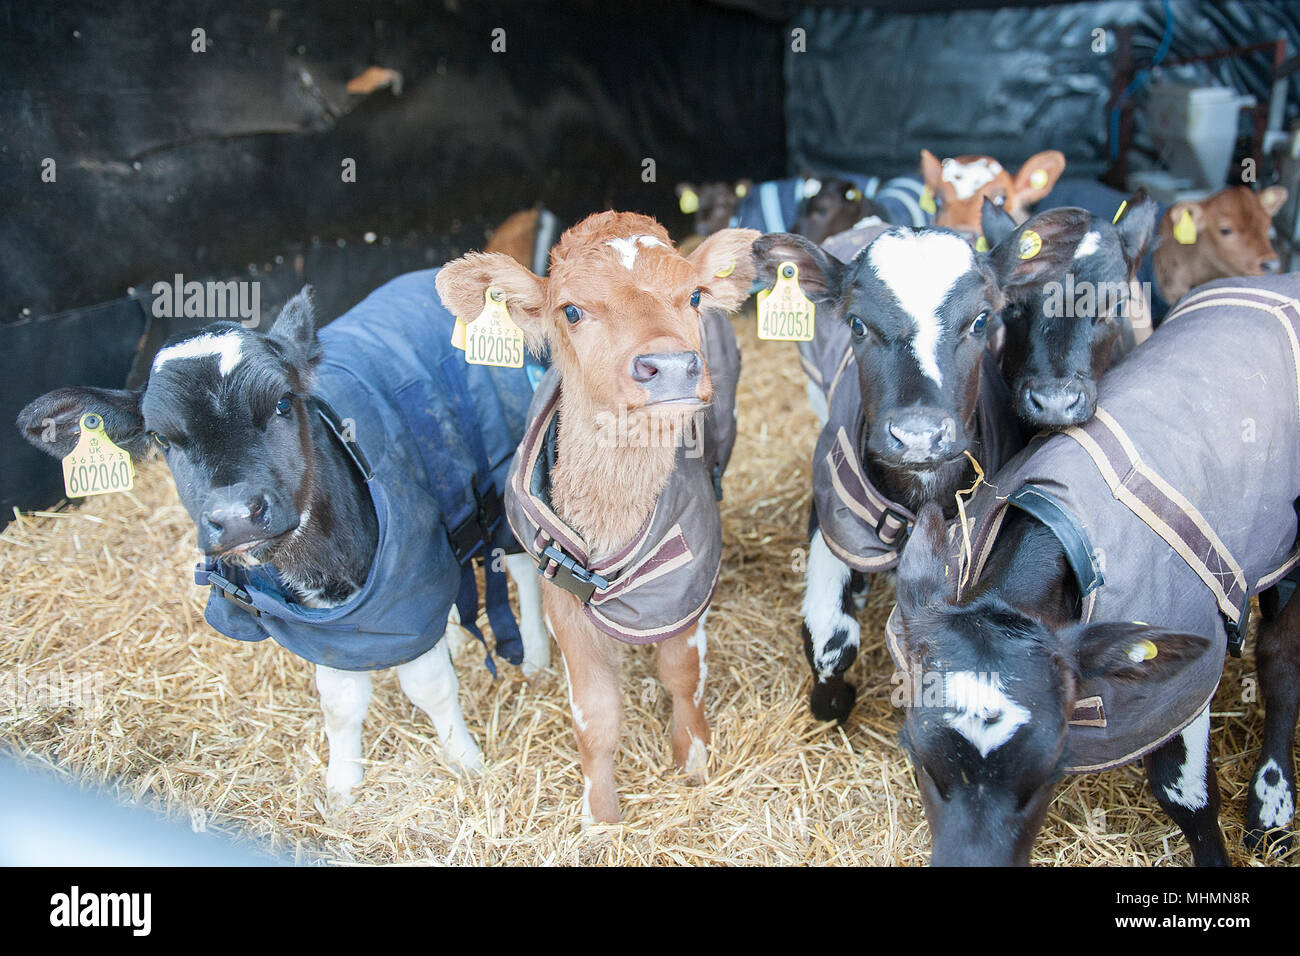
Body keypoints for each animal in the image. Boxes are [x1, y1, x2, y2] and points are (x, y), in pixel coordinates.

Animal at [17, 272, 550, 806]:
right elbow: (340, 701)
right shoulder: (327, 623)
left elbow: (430, 686)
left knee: (521, 565)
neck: (320, 566)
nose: (236, 517)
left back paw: (535, 655)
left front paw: (464, 758)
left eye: (282, 403)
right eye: (164, 439)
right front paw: (343, 783)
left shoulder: (405, 582)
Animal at [436, 211, 757, 824]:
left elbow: (683, 676)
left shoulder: (684, 585)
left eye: (694, 296)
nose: (671, 367)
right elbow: (595, 712)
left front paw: (693, 753)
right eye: (572, 311)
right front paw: (600, 813)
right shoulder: (565, 599)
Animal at [753, 207, 1091, 722]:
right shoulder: (832, 508)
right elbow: (831, 638)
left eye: (981, 319)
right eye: (856, 324)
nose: (918, 434)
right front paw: (830, 703)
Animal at [889, 273, 1300, 865]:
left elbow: (1186, 794)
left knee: (1281, 662)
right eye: (918, 756)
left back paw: (1272, 800)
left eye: (1048, 771)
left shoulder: (1183, 683)